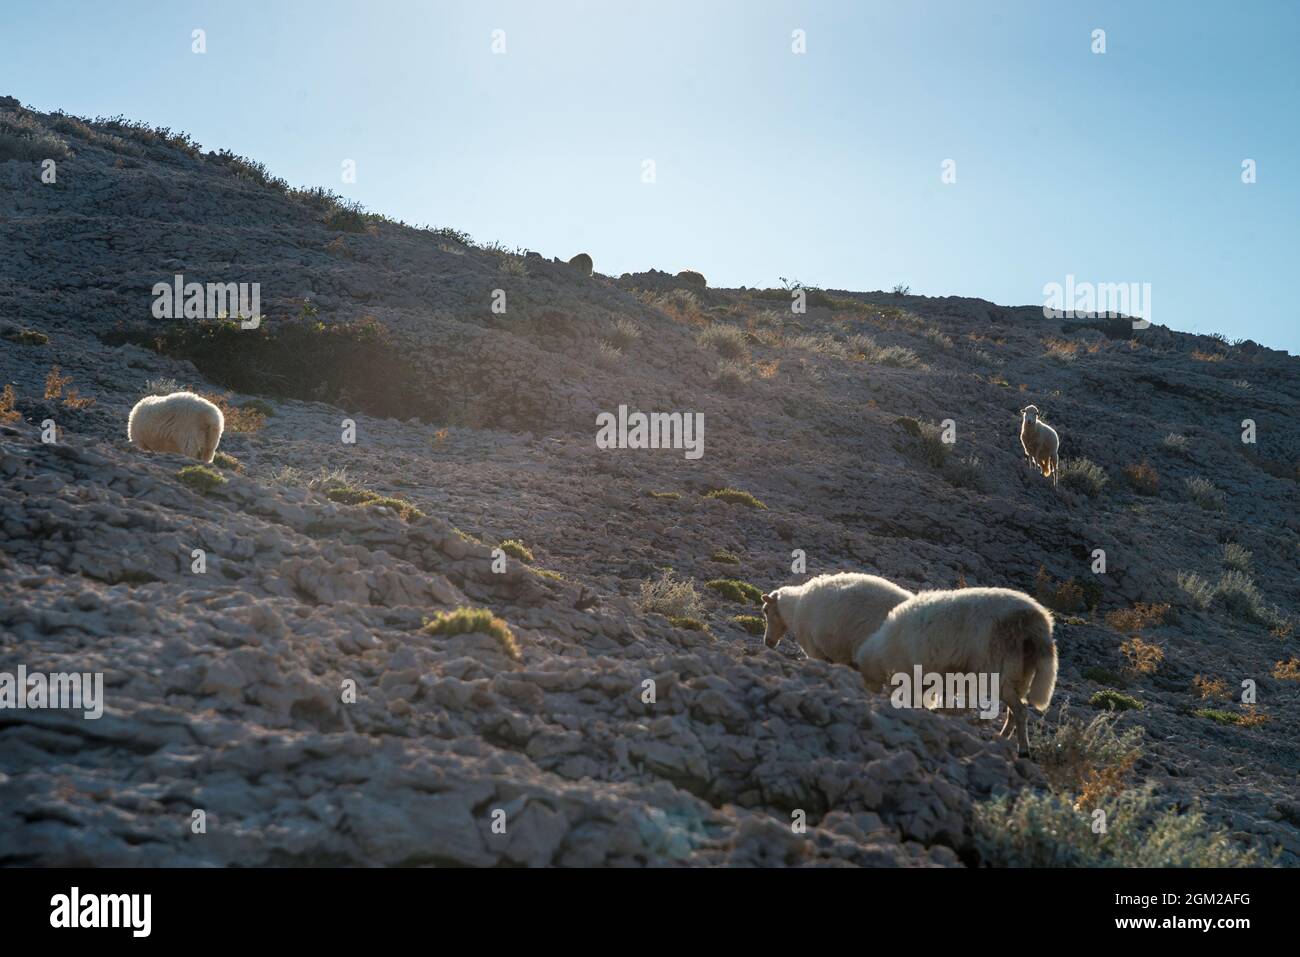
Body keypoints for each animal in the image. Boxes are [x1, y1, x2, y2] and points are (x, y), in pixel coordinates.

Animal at [853, 587, 1057, 757]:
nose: (869, 692)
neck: (887, 646)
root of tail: (1036, 621)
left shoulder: (917, 668)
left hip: (999, 671)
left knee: (1020, 711)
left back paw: (1023, 749)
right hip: (1020, 674)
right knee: (1014, 711)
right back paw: (1001, 737)